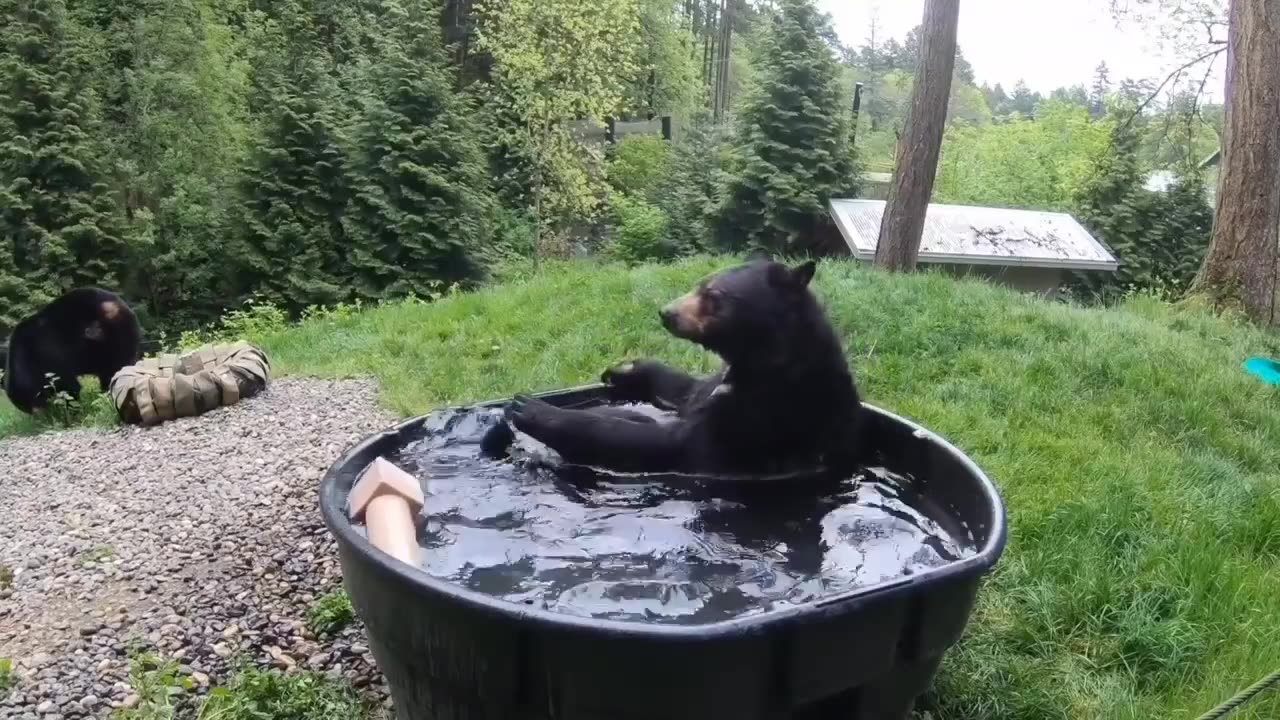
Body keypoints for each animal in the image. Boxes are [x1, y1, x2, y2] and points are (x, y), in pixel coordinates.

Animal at [3, 287, 143, 414]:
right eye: (24, 407)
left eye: (30, 402)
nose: (39, 415)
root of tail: (120, 303)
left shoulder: (49, 355)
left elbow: (68, 386)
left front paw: (71, 411)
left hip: (114, 334)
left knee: (115, 366)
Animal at [502, 252, 864, 478]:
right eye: (699, 283)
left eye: (713, 295)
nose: (667, 312)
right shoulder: (722, 386)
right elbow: (688, 391)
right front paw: (625, 372)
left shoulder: (764, 415)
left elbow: (672, 443)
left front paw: (532, 409)